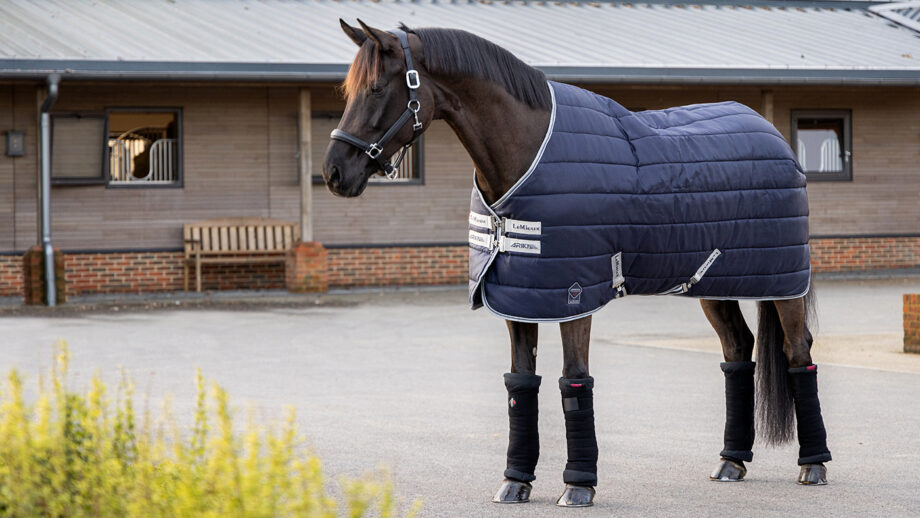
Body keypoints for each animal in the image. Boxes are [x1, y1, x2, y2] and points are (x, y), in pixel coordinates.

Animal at [322, 20, 831, 507]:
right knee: (737, 351)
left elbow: (574, 382)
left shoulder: (574, 295)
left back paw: (814, 465)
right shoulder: (520, 299)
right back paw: (731, 461)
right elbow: (520, 384)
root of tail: (777, 138)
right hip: (712, 281)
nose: (334, 173)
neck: (528, 152)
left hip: (783, 284)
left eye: (376, 88)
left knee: (797, 352)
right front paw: (514, 482)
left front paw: (579, 486)